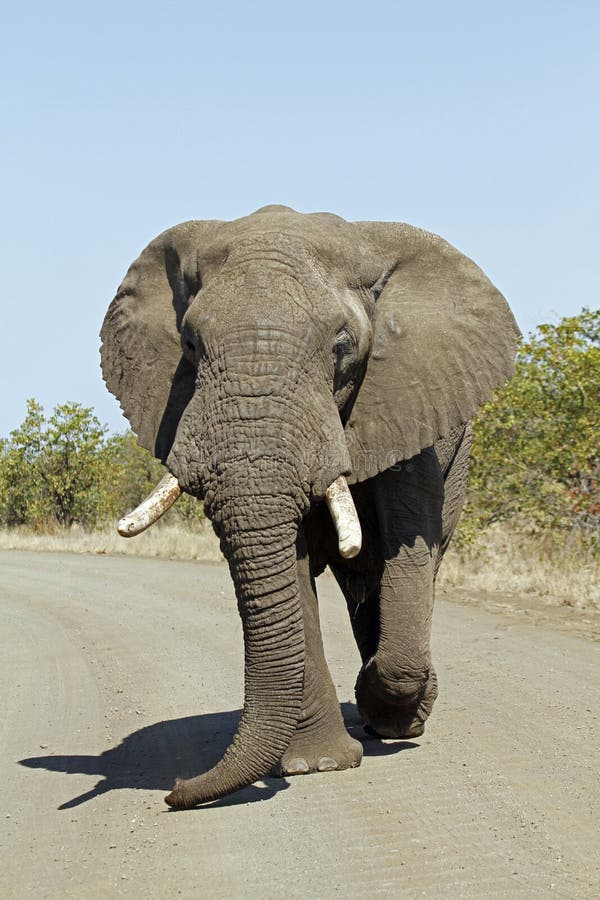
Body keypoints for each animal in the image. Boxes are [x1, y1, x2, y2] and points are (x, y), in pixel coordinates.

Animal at [100, 205, 519, 809]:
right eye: (190, 345)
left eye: (342, 345)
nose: (175, 791)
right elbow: (289, 563)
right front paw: (318, 765)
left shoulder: (405, 397)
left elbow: (407, 541)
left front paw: (385, 708)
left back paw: (393, 715)